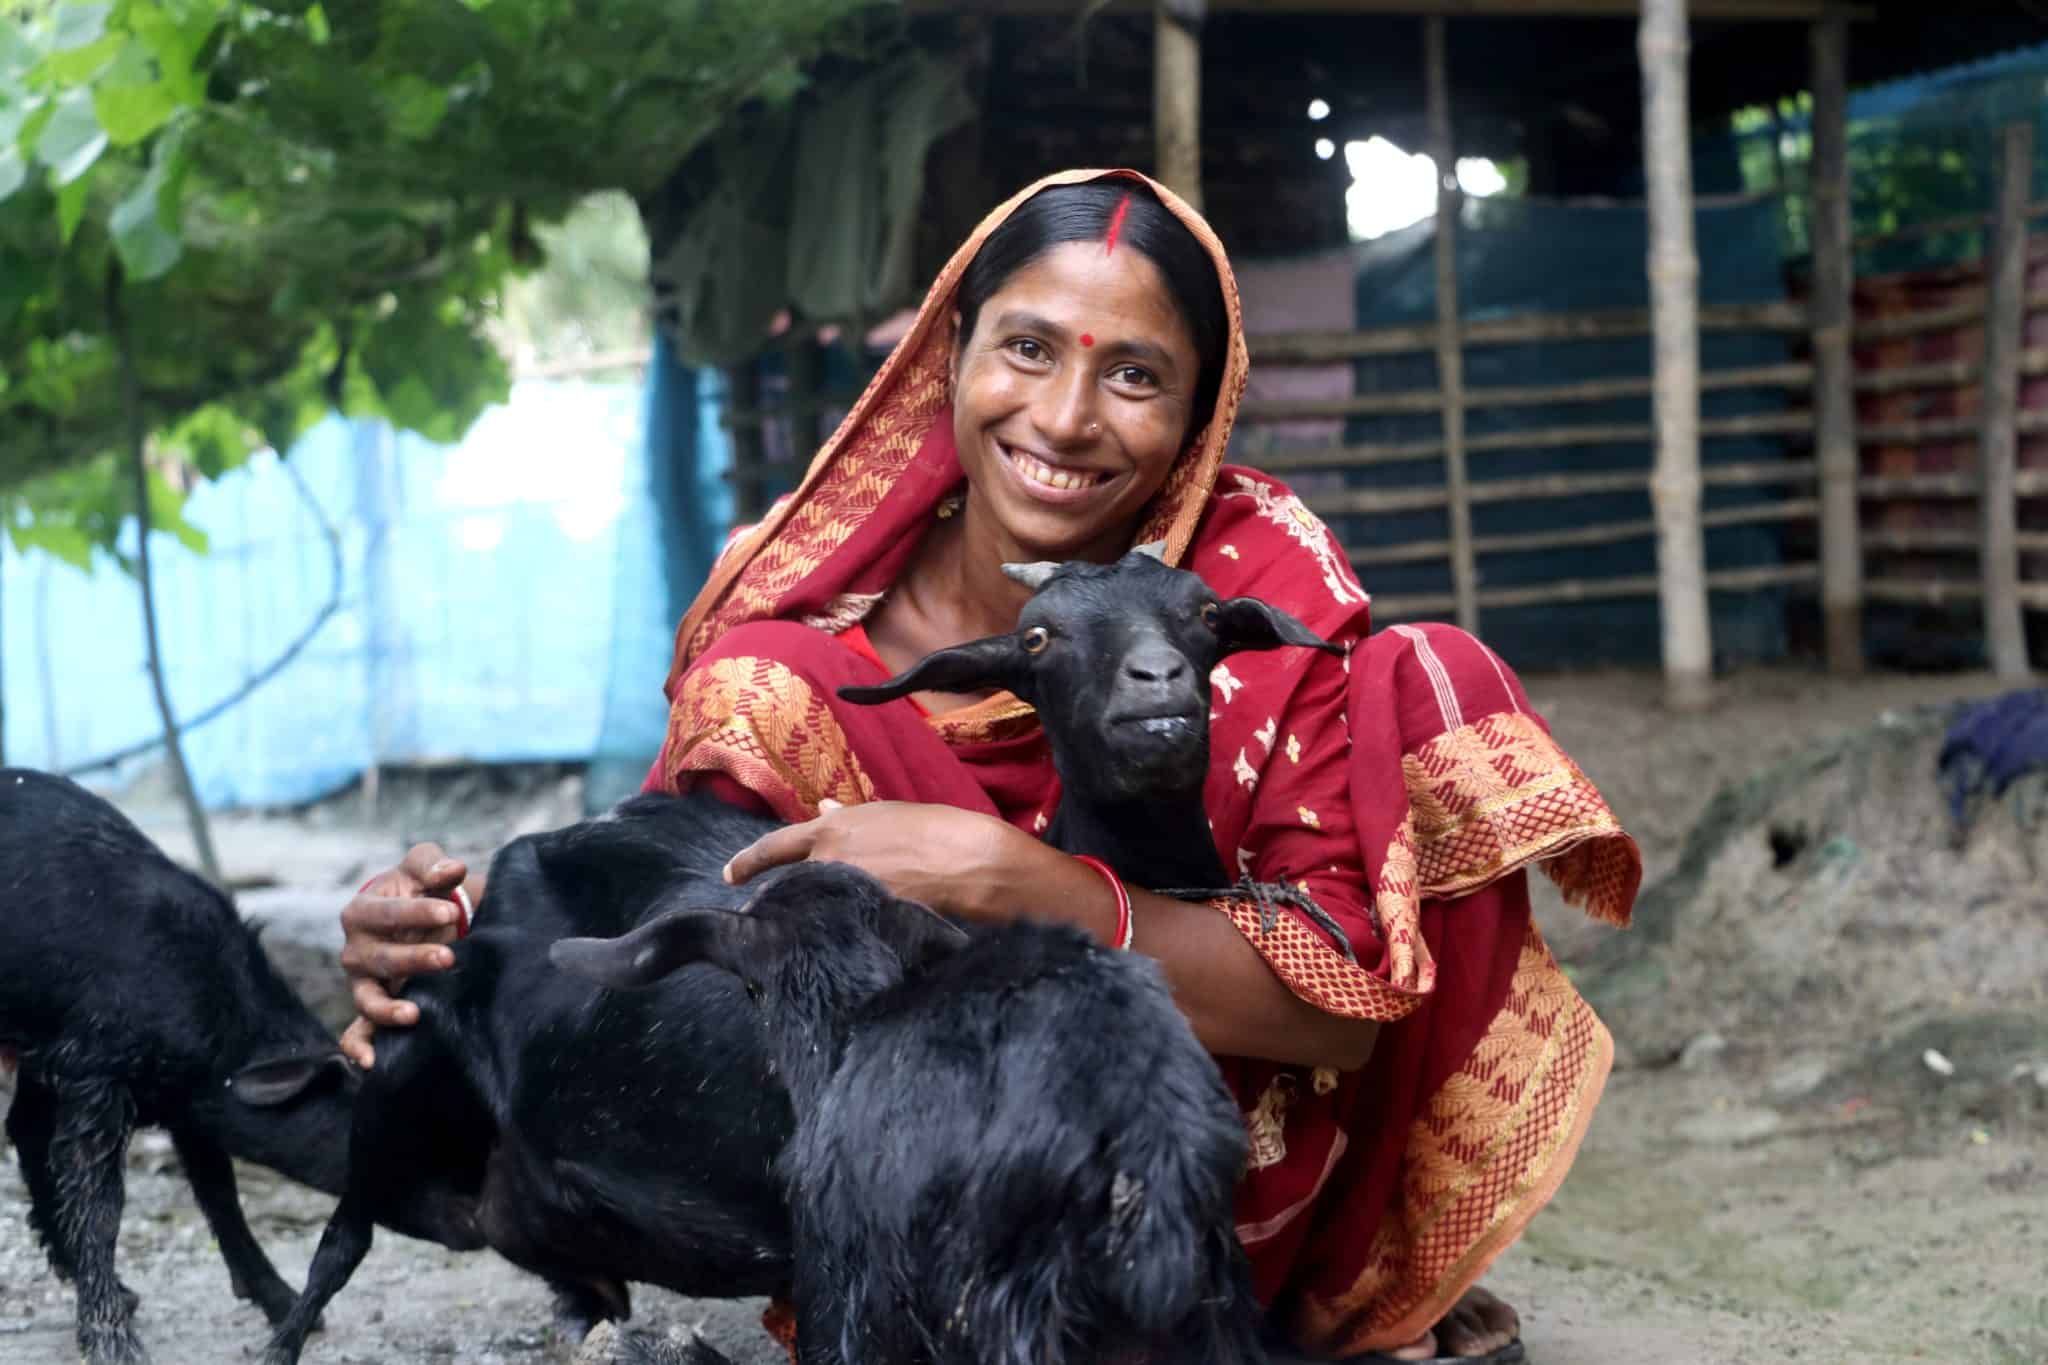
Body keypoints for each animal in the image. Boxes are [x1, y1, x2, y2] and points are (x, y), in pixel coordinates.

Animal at [0, 769, 357, 1365]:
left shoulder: (176, 1100)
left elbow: (220, 1192)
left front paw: (279, 1300)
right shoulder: (95, 1074)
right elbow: (101, 1203)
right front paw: (113, 1341)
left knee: (24, 1128)